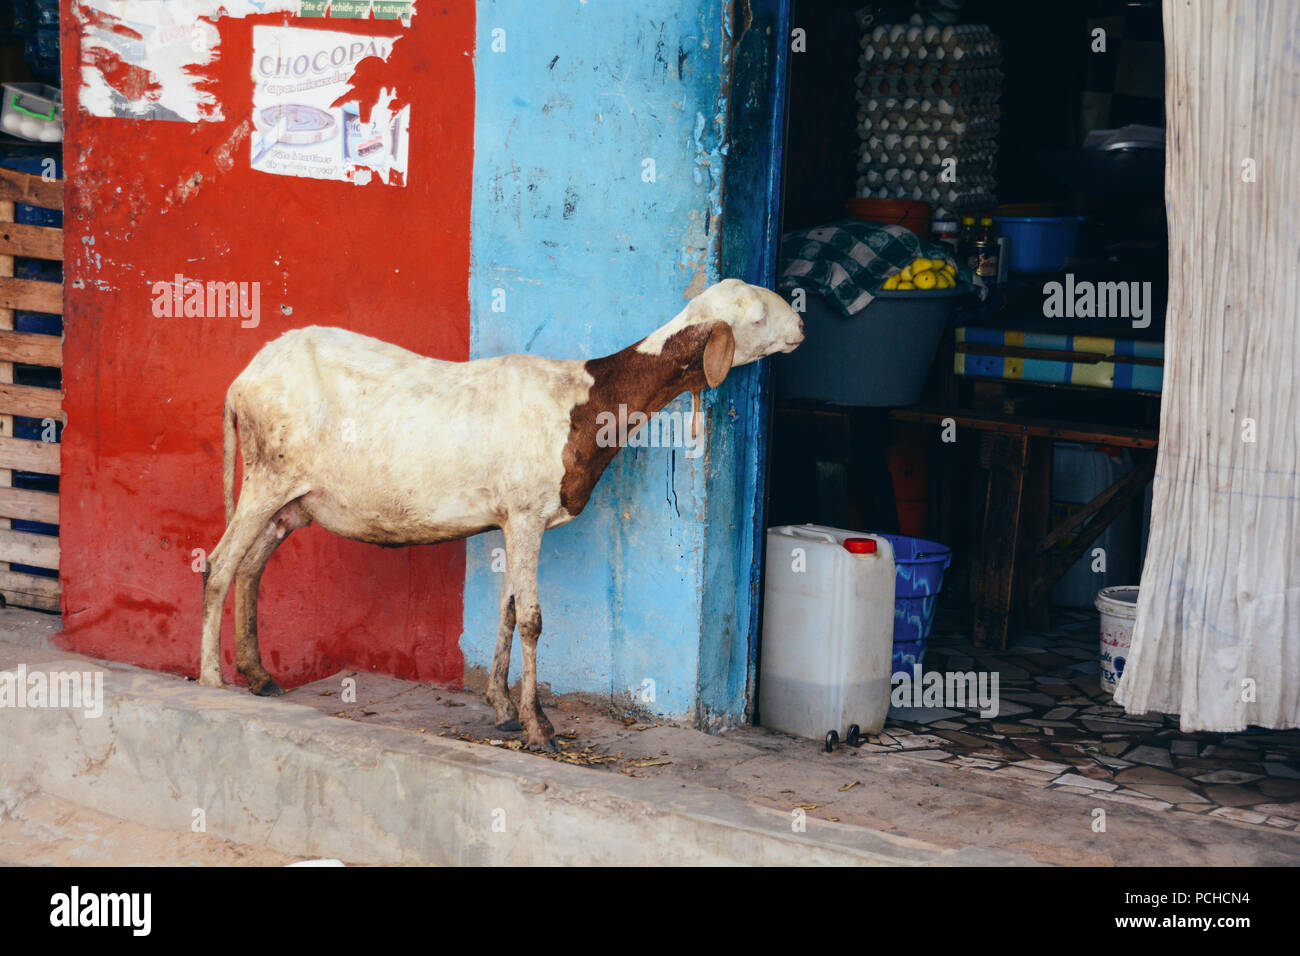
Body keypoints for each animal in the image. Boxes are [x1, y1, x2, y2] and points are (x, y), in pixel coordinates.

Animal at [200, 278, 804, 751]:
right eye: (756, 316)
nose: (801, 323)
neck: (584, 400)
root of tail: (242, 380)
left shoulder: (515, 521)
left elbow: (509, 609)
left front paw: (504, 708)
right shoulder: (527, 514)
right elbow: (533, 619)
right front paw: (540, 727)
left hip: (291, 502)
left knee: (251, 566)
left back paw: (259, 676)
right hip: (266, 478)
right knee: (220, 565)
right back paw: (211, 680)